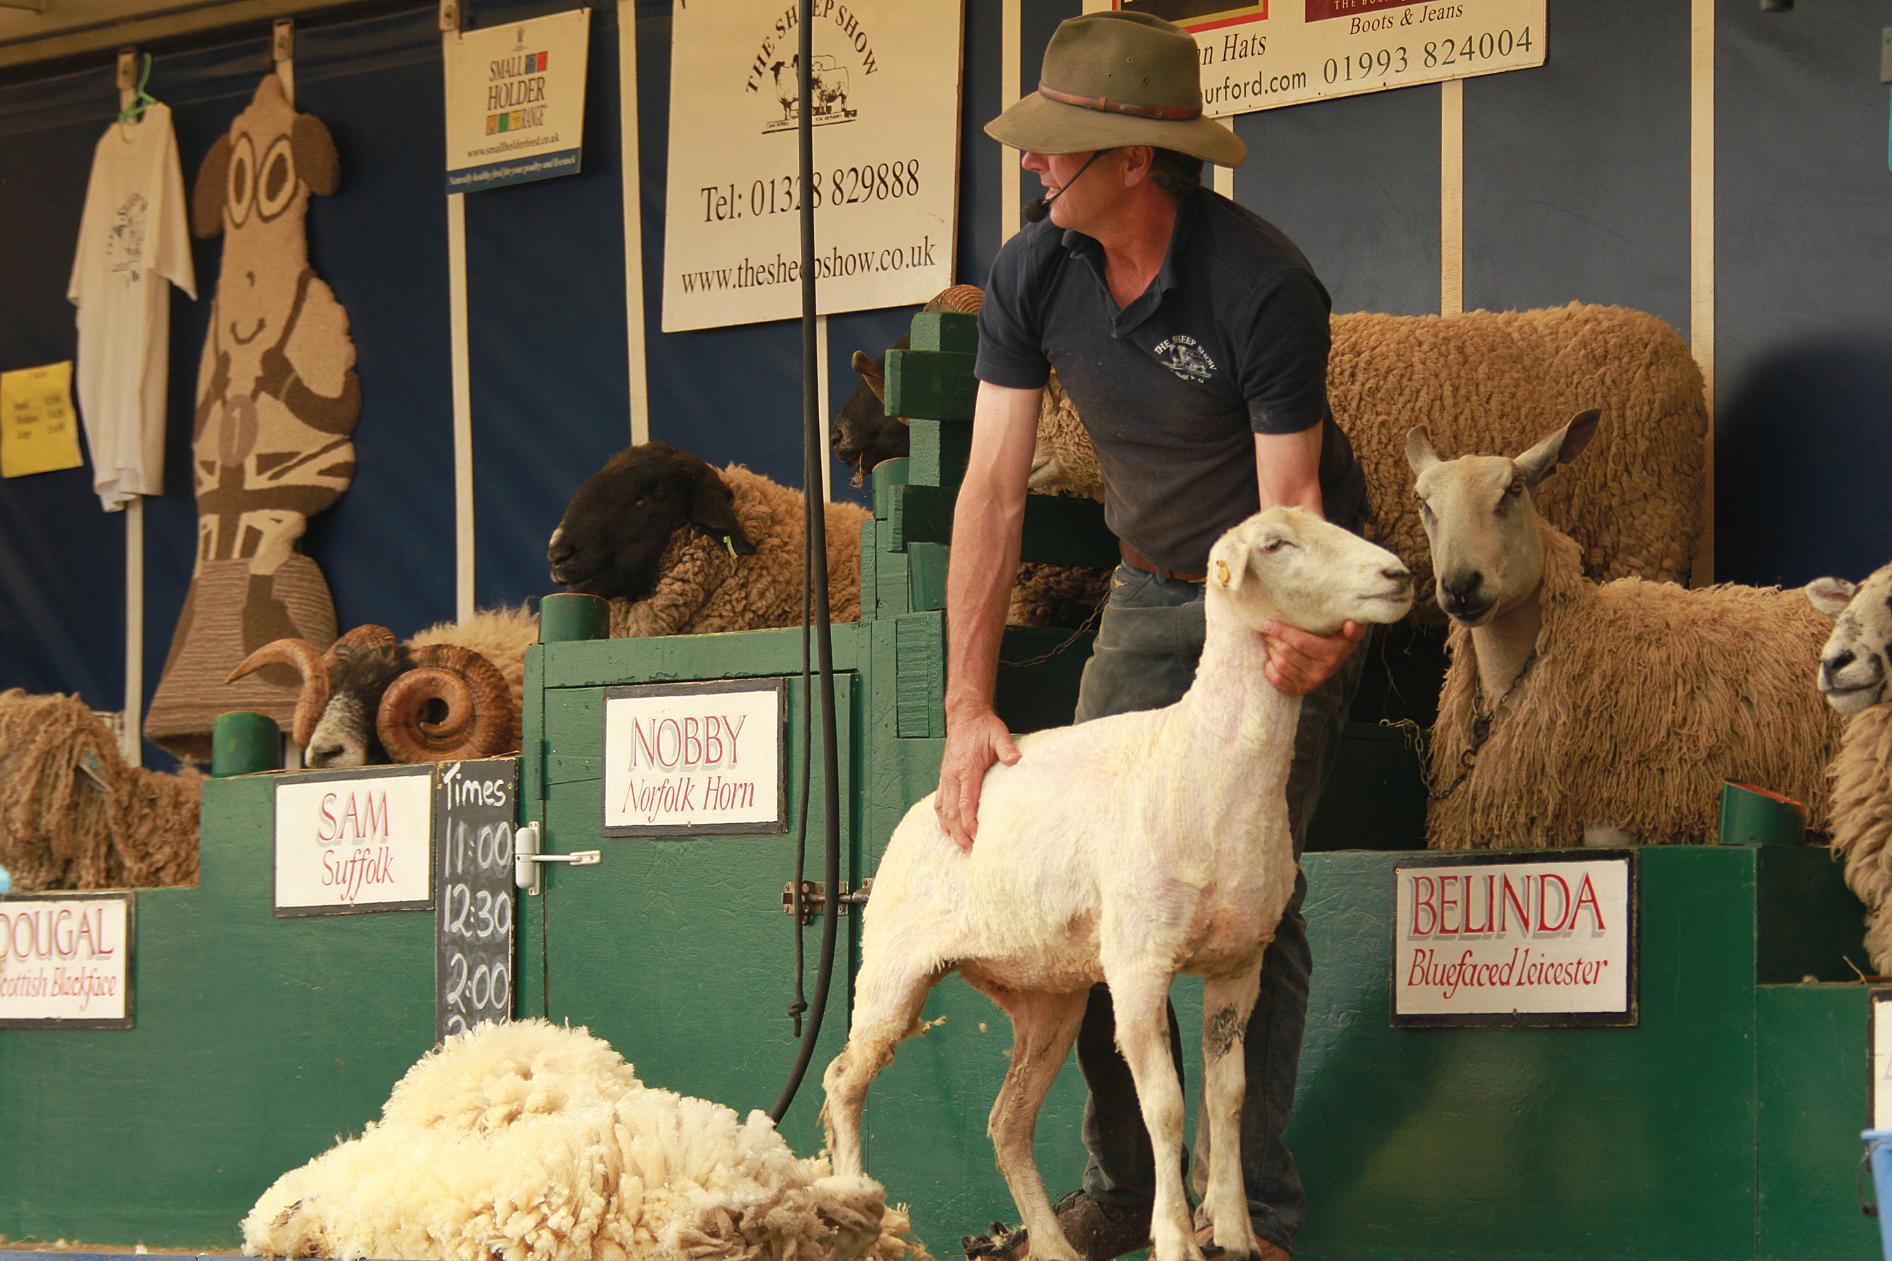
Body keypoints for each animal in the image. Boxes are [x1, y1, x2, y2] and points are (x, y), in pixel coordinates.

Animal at [820, 507, 1414, 1261]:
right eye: (1276, 544)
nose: (1398, 575)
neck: (1206, 761)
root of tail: (924, 807)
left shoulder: (1238, 966)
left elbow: (1229, 1099)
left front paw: (1234, 1231)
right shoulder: (1138, 964)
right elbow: (1164, 1105)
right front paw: (1175, 1236)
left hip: (1047, 997)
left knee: (1006, 1122)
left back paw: (1052, 1245)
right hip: (892, 969)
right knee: (844, 1081)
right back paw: (854, 1203)